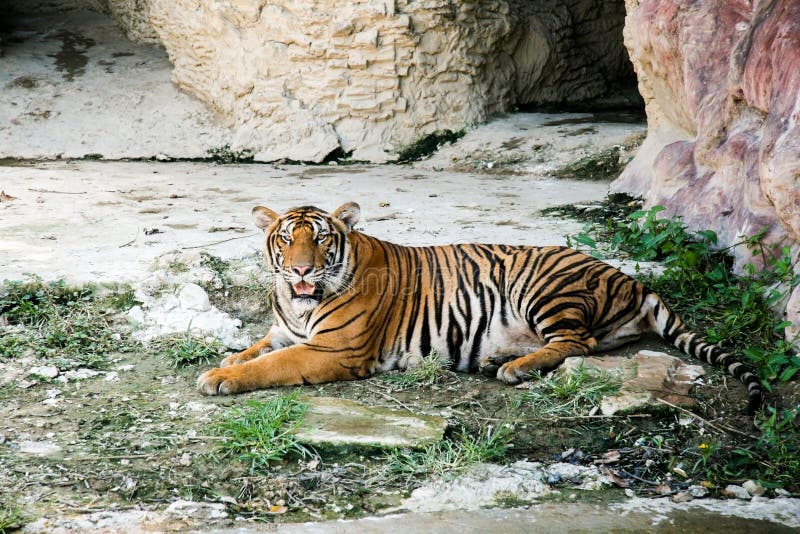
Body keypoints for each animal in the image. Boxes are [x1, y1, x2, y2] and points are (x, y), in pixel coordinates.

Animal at [197, 202, 762, 413]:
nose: (300, 271)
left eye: (319, 240)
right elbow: (255, 348)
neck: (298, 306)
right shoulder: (286, 332)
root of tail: (628, 276)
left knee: (579, 341)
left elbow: (271, 364)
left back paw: (513, 369)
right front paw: (228, 360)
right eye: (285, 240)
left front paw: (218, 378)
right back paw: (499, 359)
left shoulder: (333, 349)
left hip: (542, 287)